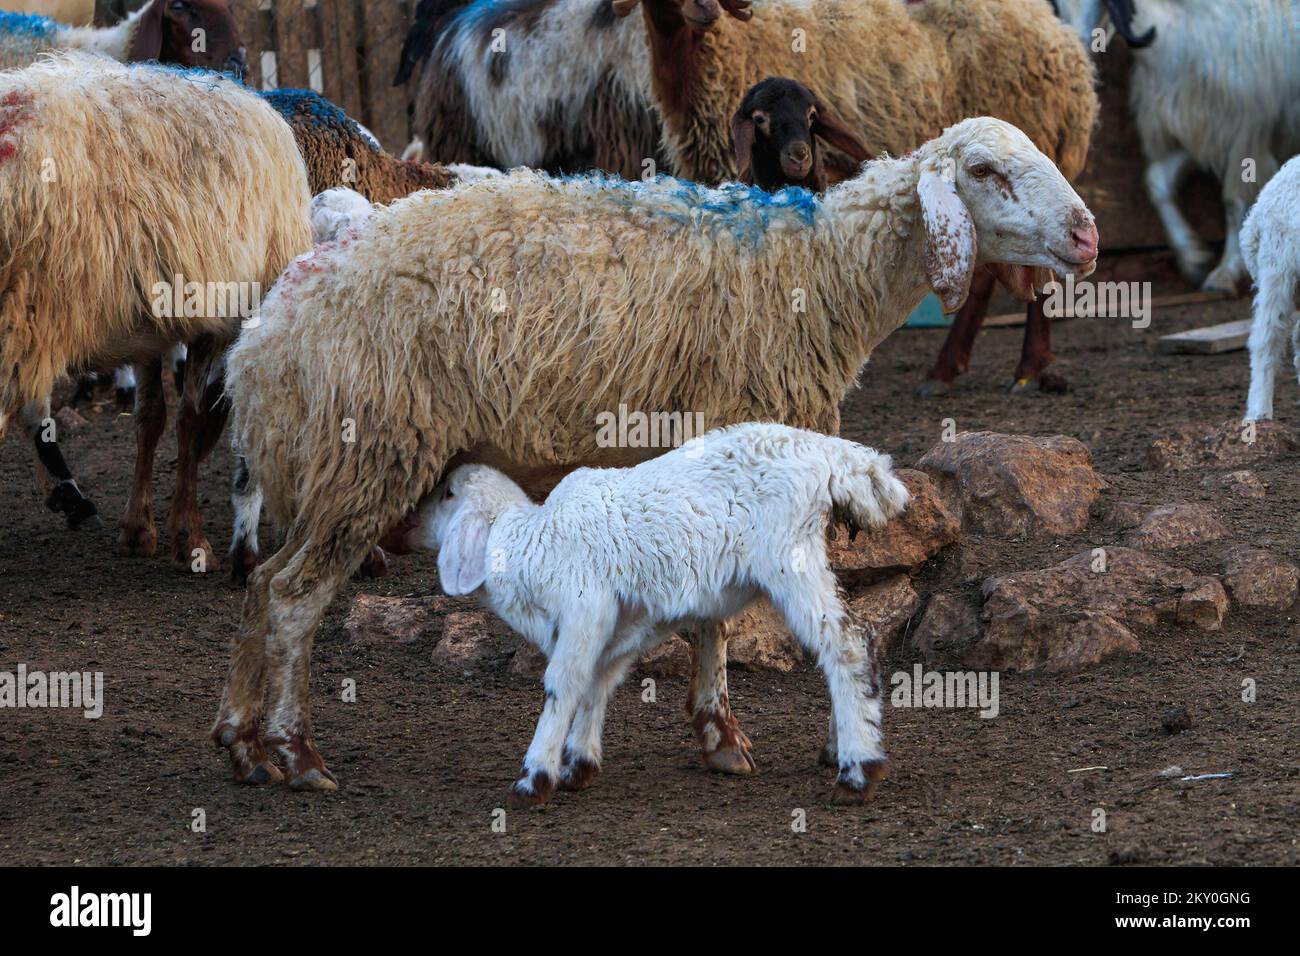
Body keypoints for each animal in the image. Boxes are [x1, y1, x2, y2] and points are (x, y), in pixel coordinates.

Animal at [0, 54, 312, 564]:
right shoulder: (217, 316)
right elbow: (187, 417)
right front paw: (187, 535)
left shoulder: (151, 322)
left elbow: (152, 418)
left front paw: (138, 529)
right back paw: (71, 495)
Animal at [401, 423, 909, 805]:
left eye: (447, 494)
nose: (405, 525)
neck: (530, 543)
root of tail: (840, 458)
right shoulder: (619, 625)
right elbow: (596, 681)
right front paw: (578, 763)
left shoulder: (585, 608)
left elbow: (563, 685)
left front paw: (534, 777)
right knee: (853, 635)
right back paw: (838, 747)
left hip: (789, 557)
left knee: (846, 644)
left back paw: (857, 772)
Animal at [1053, 0, 1300, 293]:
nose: (1075, 47)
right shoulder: (1195, 134)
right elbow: (1157, 182)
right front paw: (1193, 258)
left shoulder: (1246, 135)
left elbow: (1234, 201)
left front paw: (1224, 273)